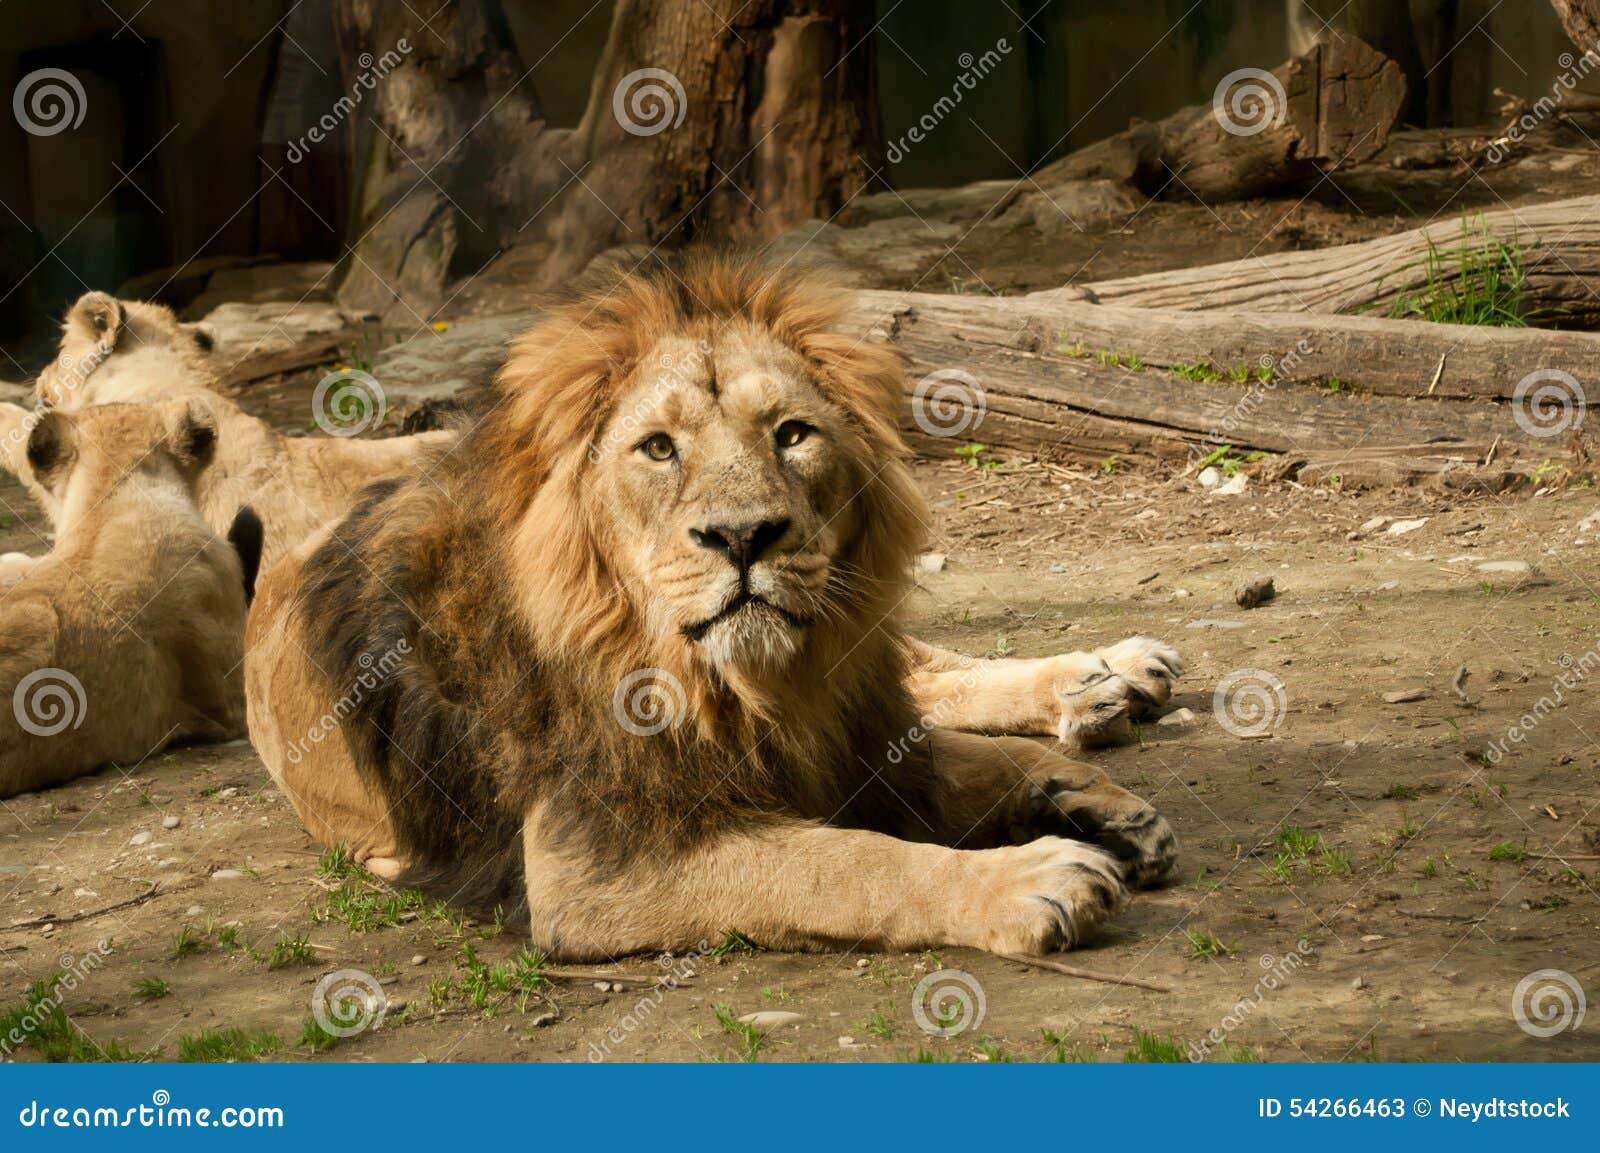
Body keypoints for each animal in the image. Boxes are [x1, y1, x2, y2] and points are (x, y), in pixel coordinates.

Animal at [245, 254, 1181, 960]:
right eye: (658, 448)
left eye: (792, 433)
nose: (744, 536)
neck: (730, 684)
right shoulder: (594, 867)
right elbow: (845, 861)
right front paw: (1032, 876)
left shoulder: (854, 729)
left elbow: (969, 759)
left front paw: (1093, 799)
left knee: (932, 667)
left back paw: (1113, 674)